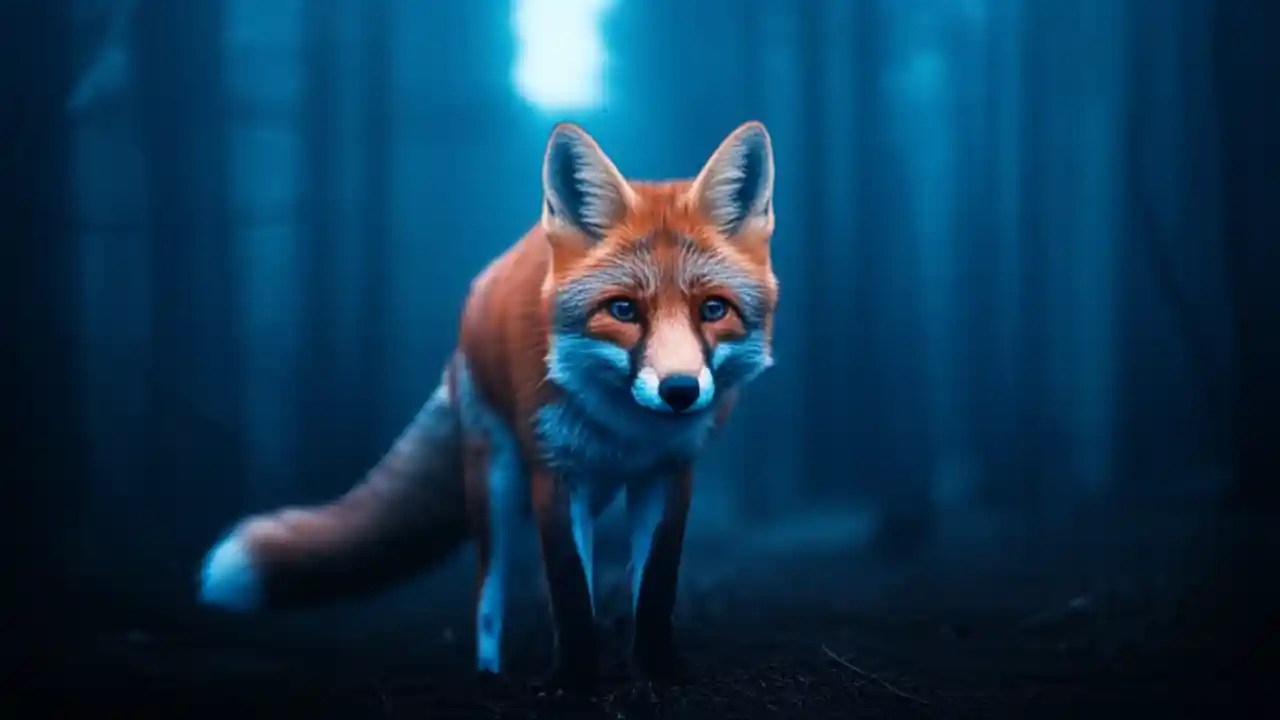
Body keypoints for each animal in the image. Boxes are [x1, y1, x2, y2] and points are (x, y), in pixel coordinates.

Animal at [198, 120, 779, 689]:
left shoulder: (670, 473)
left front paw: (656, 670)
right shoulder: (555, 472)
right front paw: (575, 680)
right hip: (495, 485)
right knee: (489, 595)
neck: (626, 430)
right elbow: (569, 587)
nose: (679, 391)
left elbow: (655, 587)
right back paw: (489, 673)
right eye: (622, 310)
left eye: (713, 310)